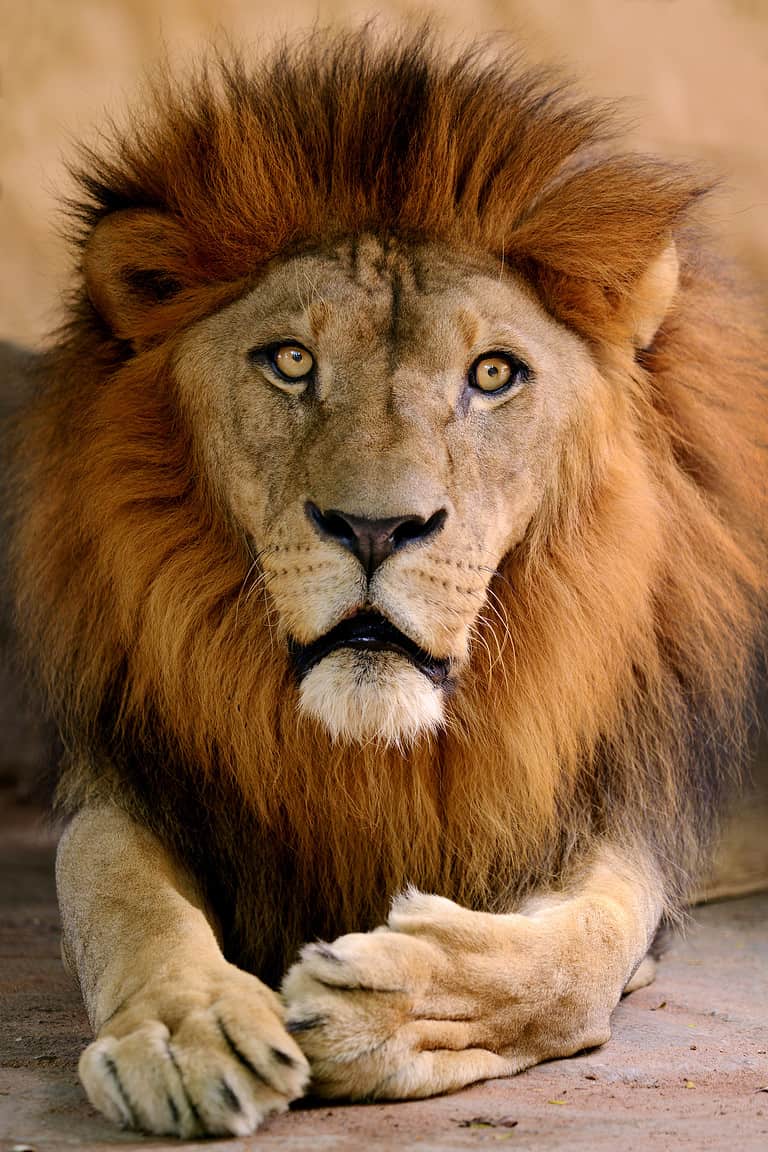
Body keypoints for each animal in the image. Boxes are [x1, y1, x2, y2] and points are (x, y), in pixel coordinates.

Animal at [6, 30, 767, 1139]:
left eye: (493, 375)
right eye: (290, 361)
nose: (375, 527)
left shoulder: (629, 816)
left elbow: (574, 959)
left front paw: (385, 1010)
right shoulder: (133, 775)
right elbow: (116, 893)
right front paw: (187, 1032)